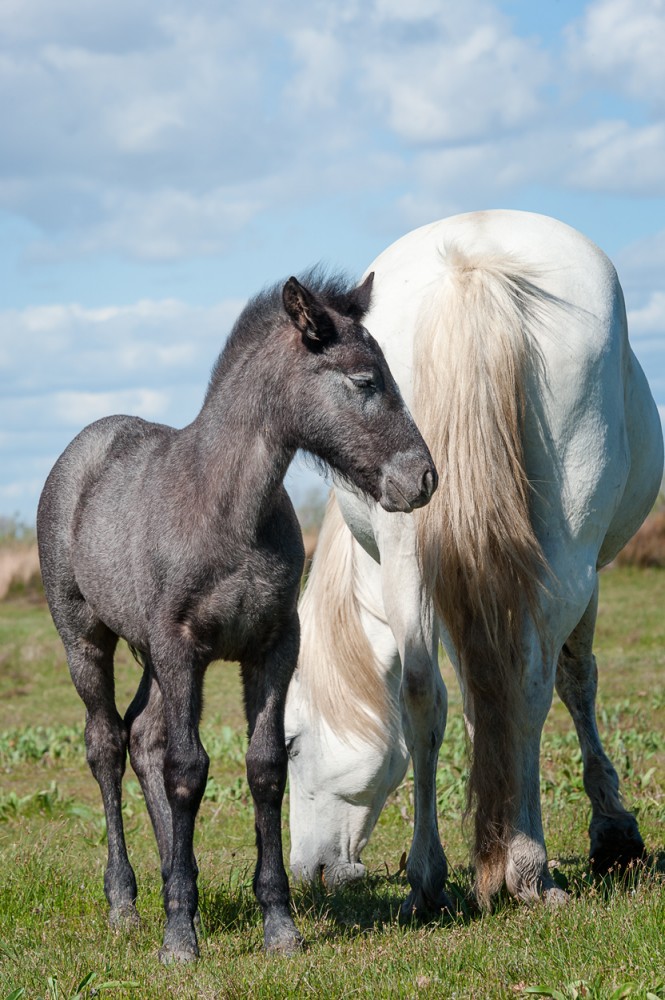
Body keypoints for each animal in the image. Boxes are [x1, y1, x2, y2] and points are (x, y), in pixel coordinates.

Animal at [36, 270, 437, 963]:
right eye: (364, 380)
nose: (423, 478)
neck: (227, 511)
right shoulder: (180, 647)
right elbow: (187, 770)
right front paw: (179, 936)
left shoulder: (272, 646)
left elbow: (264, 768)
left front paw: (278, 923)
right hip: (87, 640)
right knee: (108, 744)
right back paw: (128, 902)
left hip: (150, 655)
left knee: (143, 735)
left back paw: (175, 874)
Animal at [285, 211, 664, 917]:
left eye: (291, 741)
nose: (309, 871)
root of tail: (470, 267)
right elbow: (568, 682)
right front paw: (607, 833)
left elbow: (483, 695)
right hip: (563, 559)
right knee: (530, 688)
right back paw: (525, 866)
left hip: (414, 552)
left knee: (428, 695)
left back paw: (432, 880)